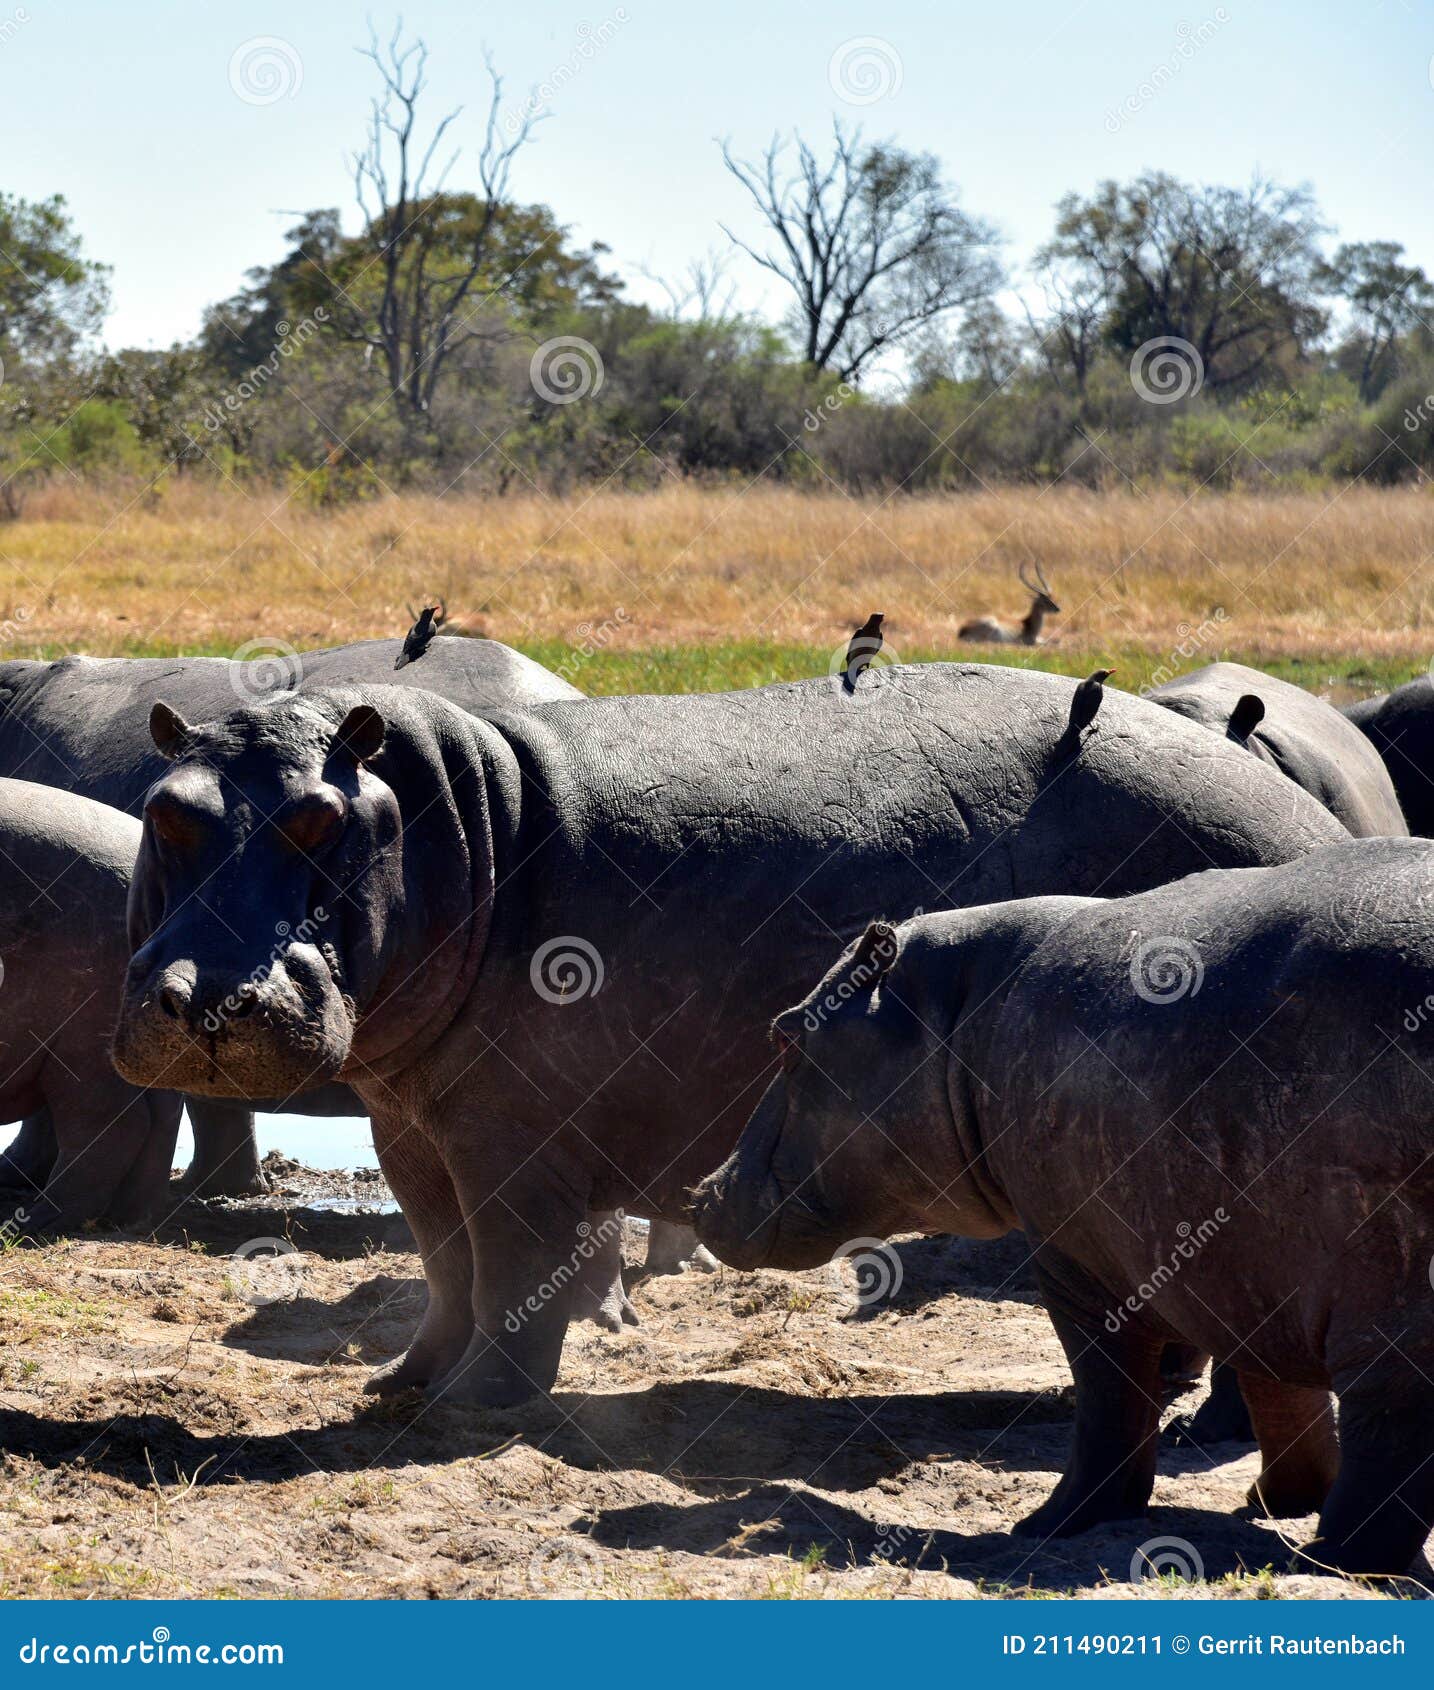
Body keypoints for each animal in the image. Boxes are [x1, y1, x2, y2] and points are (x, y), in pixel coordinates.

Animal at [110, 663, 1346, 1407]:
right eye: (166, 809)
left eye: (321, 821)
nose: (207, 998)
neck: (449, 818)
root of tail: (1309, 815)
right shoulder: (411, 1128)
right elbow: (444, 1259)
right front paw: (402, 1388)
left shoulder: (515, 1141)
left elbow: (510, 1264)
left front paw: (474, 1407)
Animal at [693, 837, 1434, 1575]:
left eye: (785, 1035)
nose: (704, 1192)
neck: (956, 1012)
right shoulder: (1248, 1274)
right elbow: (1278, 1392)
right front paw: (1275, 1501)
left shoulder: (1078, 1262)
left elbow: (1109, 1399)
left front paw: (1048, 1526)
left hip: (1389, 1296)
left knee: (1390, 1426)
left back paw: (1334, 1557)